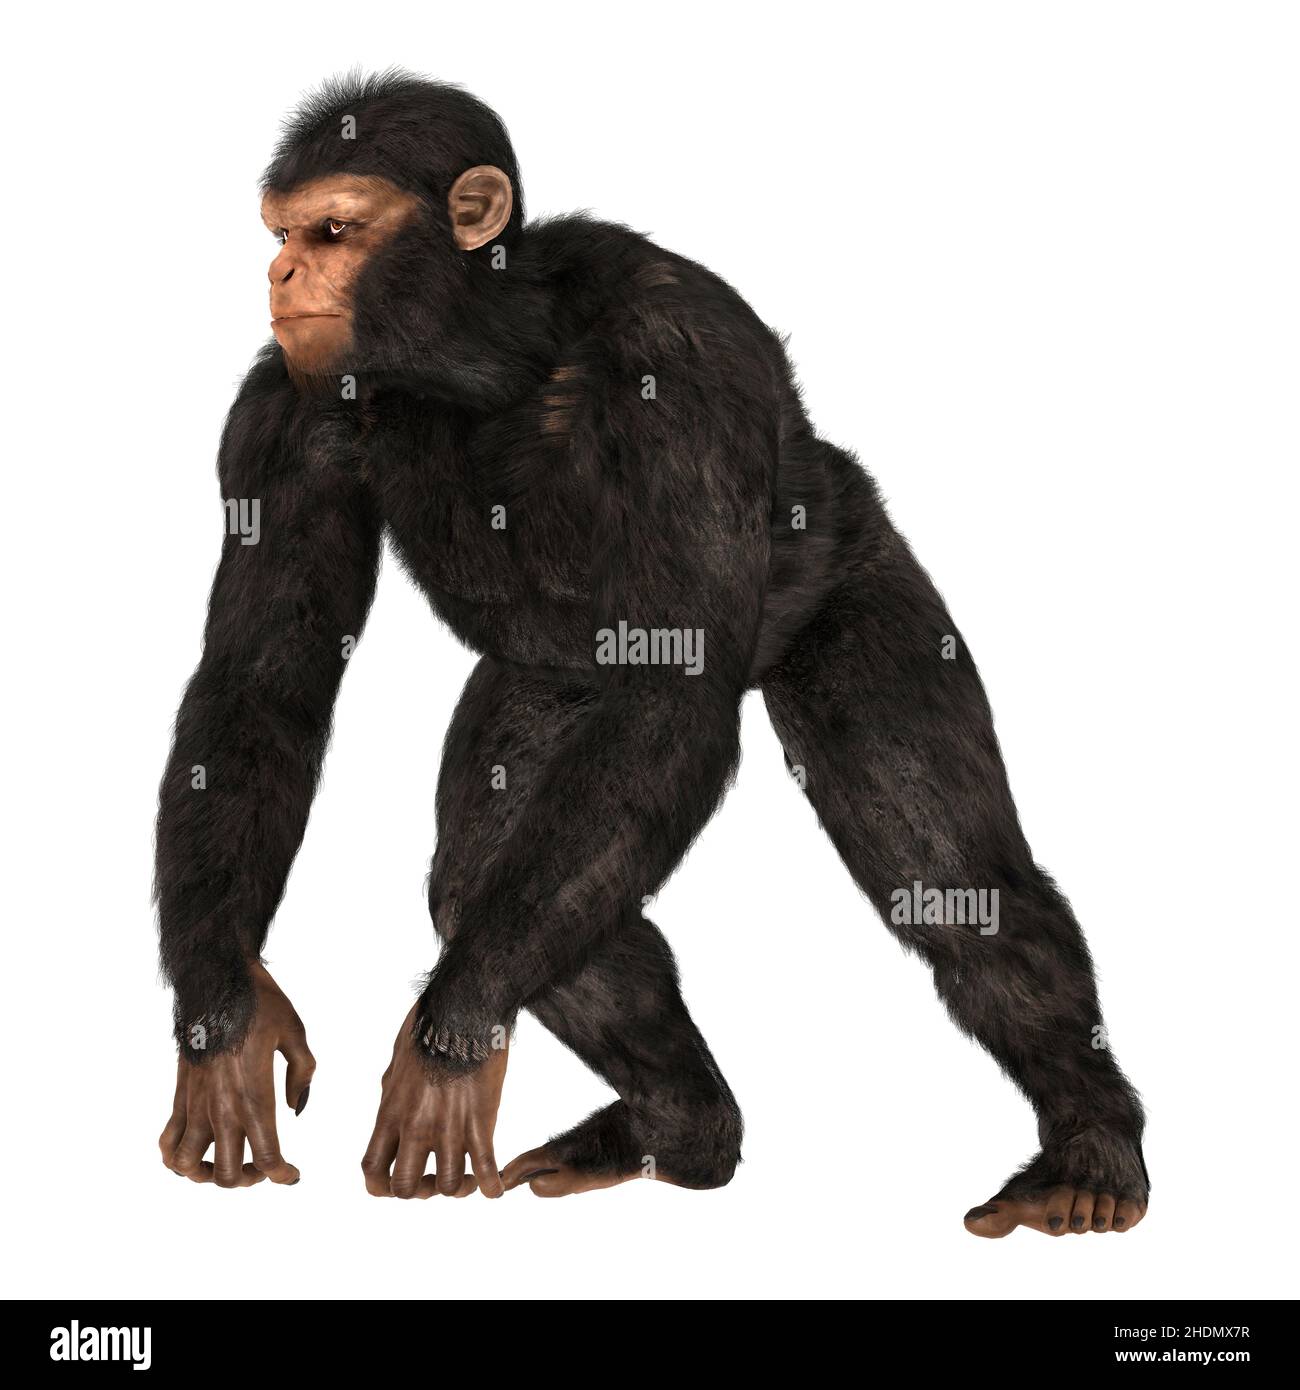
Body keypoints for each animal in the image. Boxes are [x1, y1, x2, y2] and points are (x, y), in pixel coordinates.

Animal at [155, 70, 1148, 1236]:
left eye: (335, 230)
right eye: (284, 231)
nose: (281, 271)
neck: (485, 358)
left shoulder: (686, 365)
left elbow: (678, 691)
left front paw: (446, 1045)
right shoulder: (280, 414)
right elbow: (262, 683)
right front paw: (226, 1021)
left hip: (848, 569)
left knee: (955, 878)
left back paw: (1089, 1153)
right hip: (550, 685)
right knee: (493, 868)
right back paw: (682, 1130)